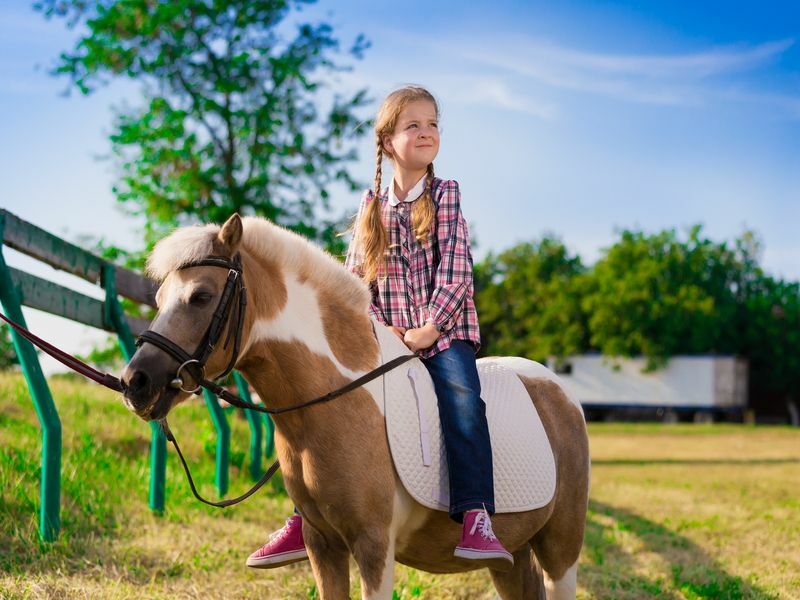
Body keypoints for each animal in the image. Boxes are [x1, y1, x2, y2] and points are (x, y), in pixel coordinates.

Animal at [122, 216, 592, 600]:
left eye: (201, 296)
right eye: (160, 298)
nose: (134, 382)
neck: (338, 401)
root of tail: (559, 392)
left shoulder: (373, 545)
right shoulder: (322, 544)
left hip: (561, 550)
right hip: (511, 557)